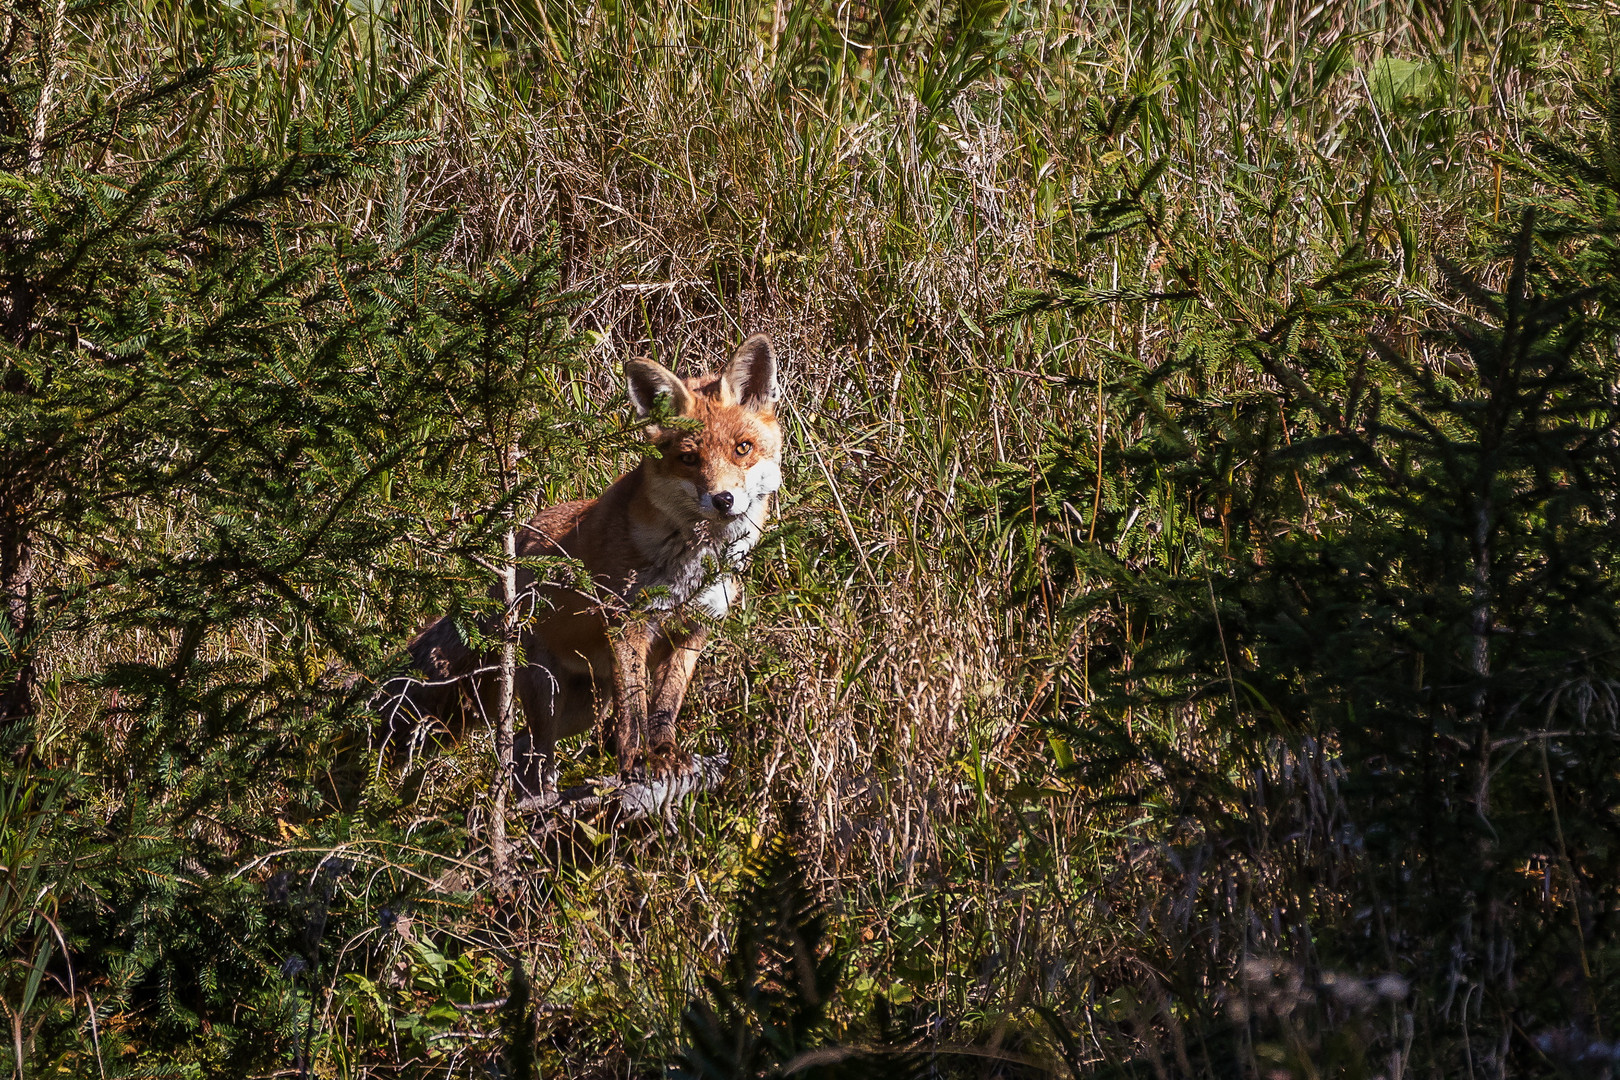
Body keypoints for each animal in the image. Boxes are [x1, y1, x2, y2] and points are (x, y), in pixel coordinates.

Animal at [378, 332, 783, 804]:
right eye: (688, 459)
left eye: (742, 448)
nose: (723, 500)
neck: (693, 566)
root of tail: (504, 571)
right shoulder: (627, 623)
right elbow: (635, 713)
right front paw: (639, 762)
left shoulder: (693, 630)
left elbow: (664, 707)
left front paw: (665, 754)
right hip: (548, 692)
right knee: (535, 754)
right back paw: (535, 807)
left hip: (585, 705)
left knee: (525, 749)